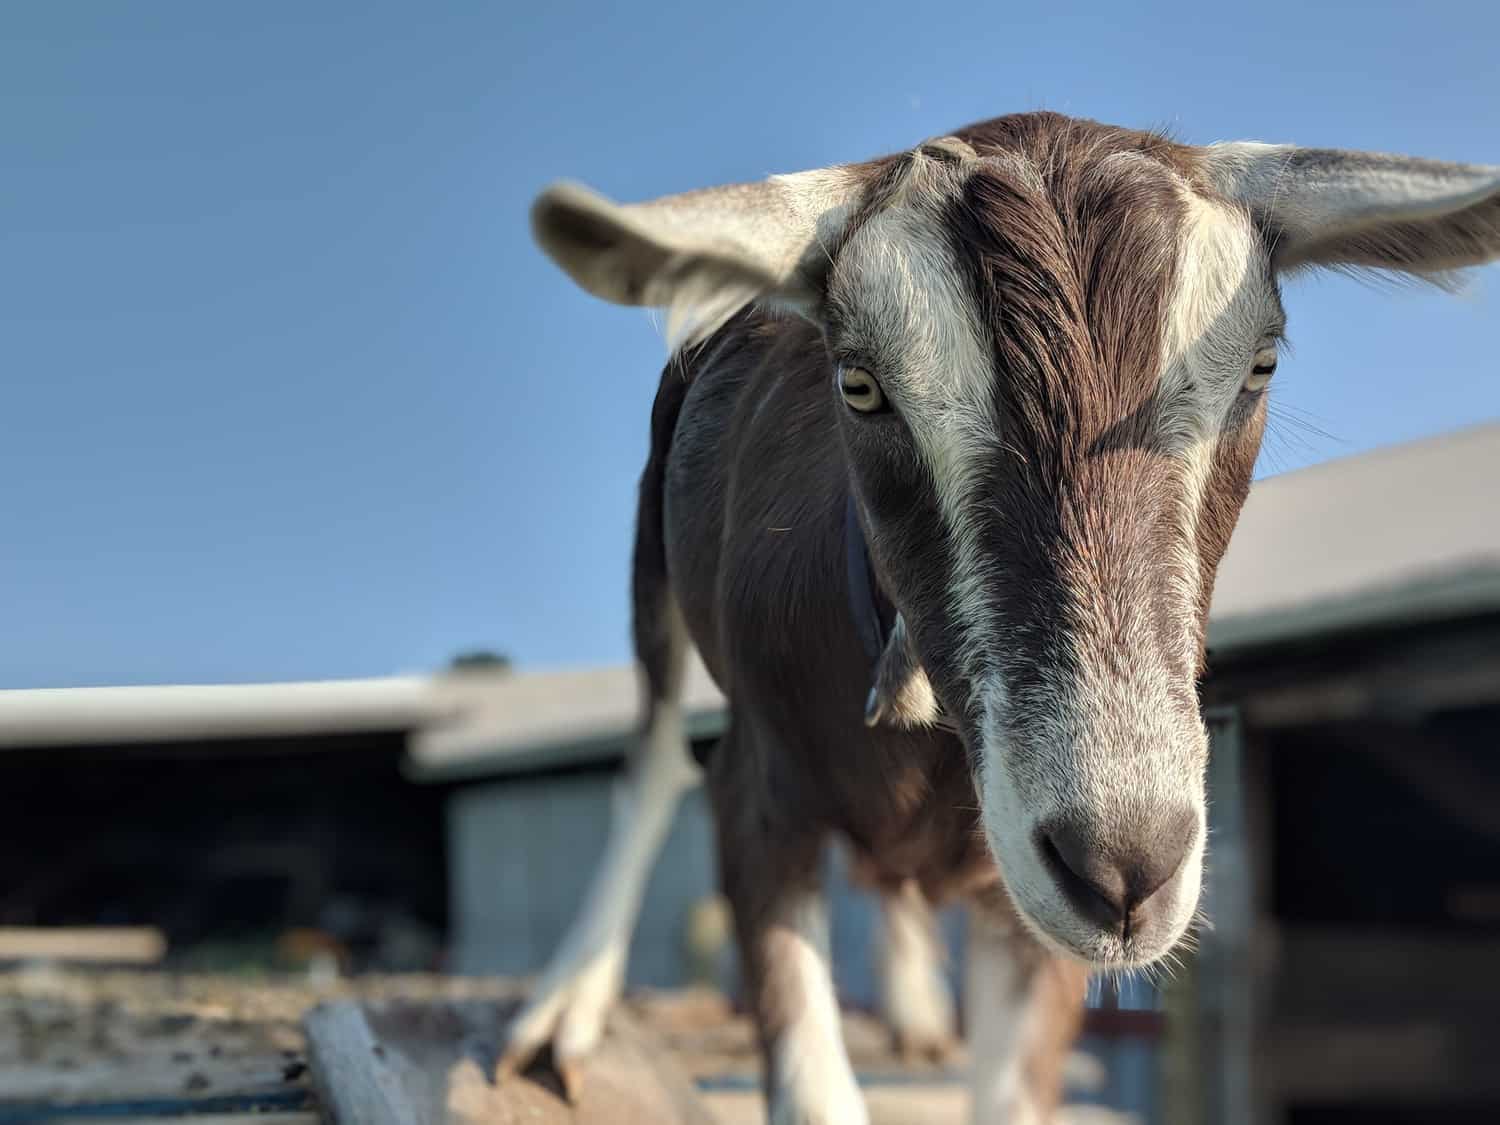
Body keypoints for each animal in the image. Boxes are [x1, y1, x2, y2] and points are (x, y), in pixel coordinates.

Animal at [502, 112, 1500, 1124]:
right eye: (859, 384)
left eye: (1259, 367)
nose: (1124, 868)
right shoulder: (760, 786)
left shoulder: (1021, 900)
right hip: (653, 542)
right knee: (655, 749)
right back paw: (562, 1013)